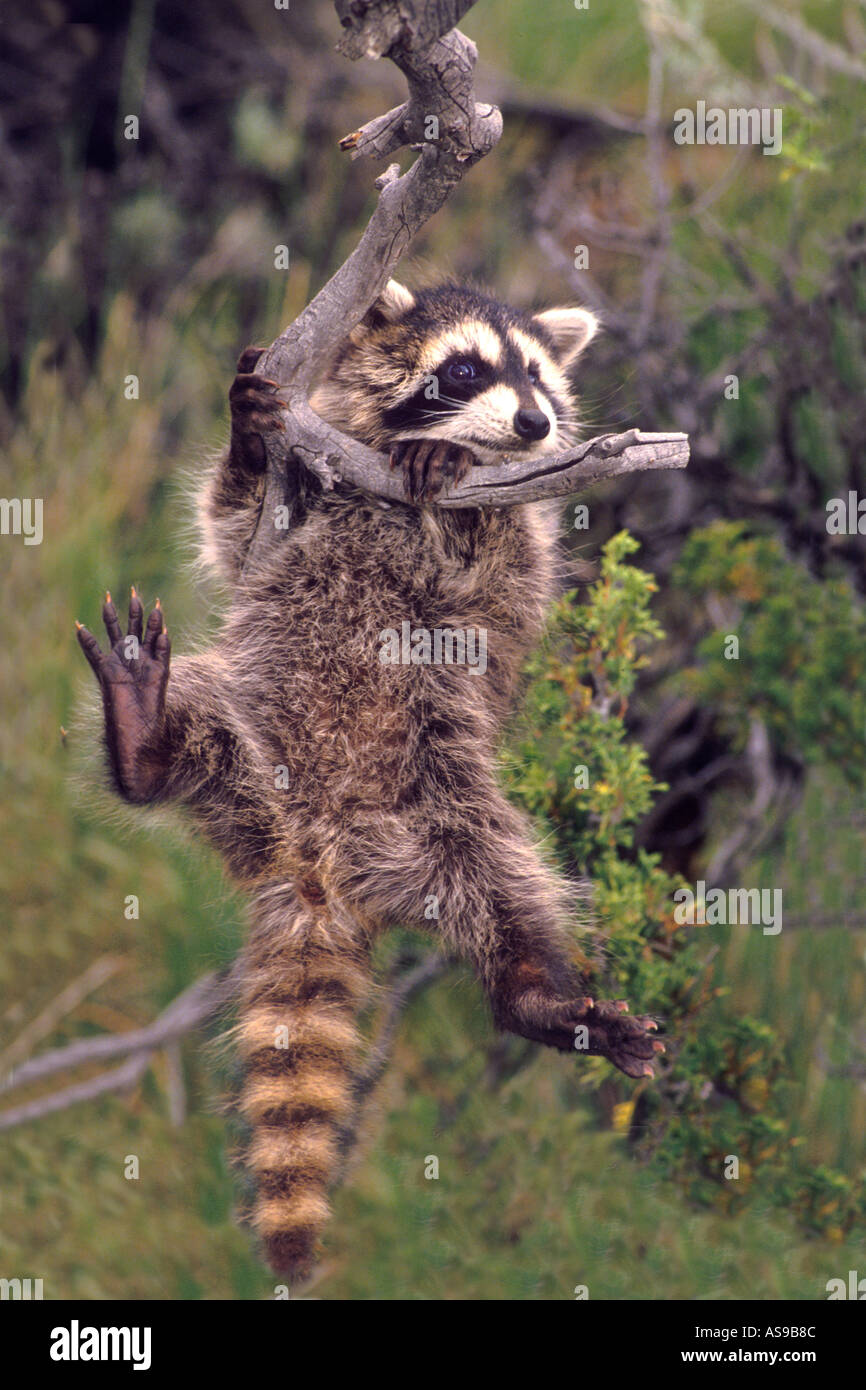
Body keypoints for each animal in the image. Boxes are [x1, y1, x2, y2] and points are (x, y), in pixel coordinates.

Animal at [77, 280, 662, 1282]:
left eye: (538, 375)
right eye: (464, 369)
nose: (537, 423)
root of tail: (318, 863)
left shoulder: (514, 563)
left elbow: (503, 572)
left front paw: (459, 481)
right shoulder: (293, 519)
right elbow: (232, 524)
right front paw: (250, 438)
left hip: (445, 796)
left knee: (506, 884)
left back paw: (533, 992)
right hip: (247, 733)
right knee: (194, 731)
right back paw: (146, 738)